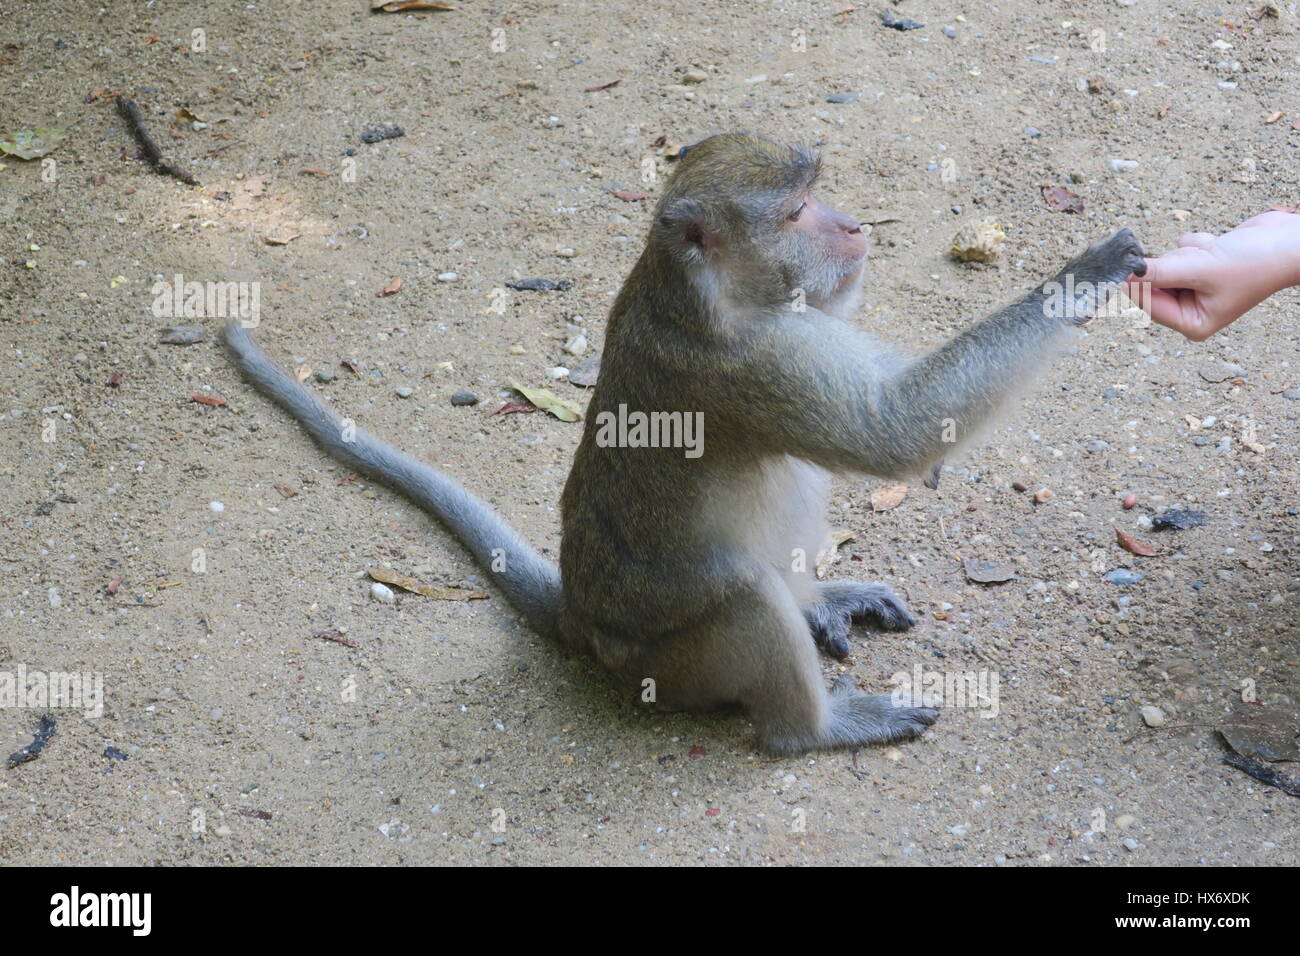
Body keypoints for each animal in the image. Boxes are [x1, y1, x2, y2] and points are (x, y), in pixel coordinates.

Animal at [223, 133, 1146, 756]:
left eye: (817, 197)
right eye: (798, 211)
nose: (853, 227)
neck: (700, 290)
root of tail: (580, 615)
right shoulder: (760, 361)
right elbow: (896, 432)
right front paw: (1085, 273)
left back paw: (816, 600)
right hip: (672, 663)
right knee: (742, 594)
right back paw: (811, 726)